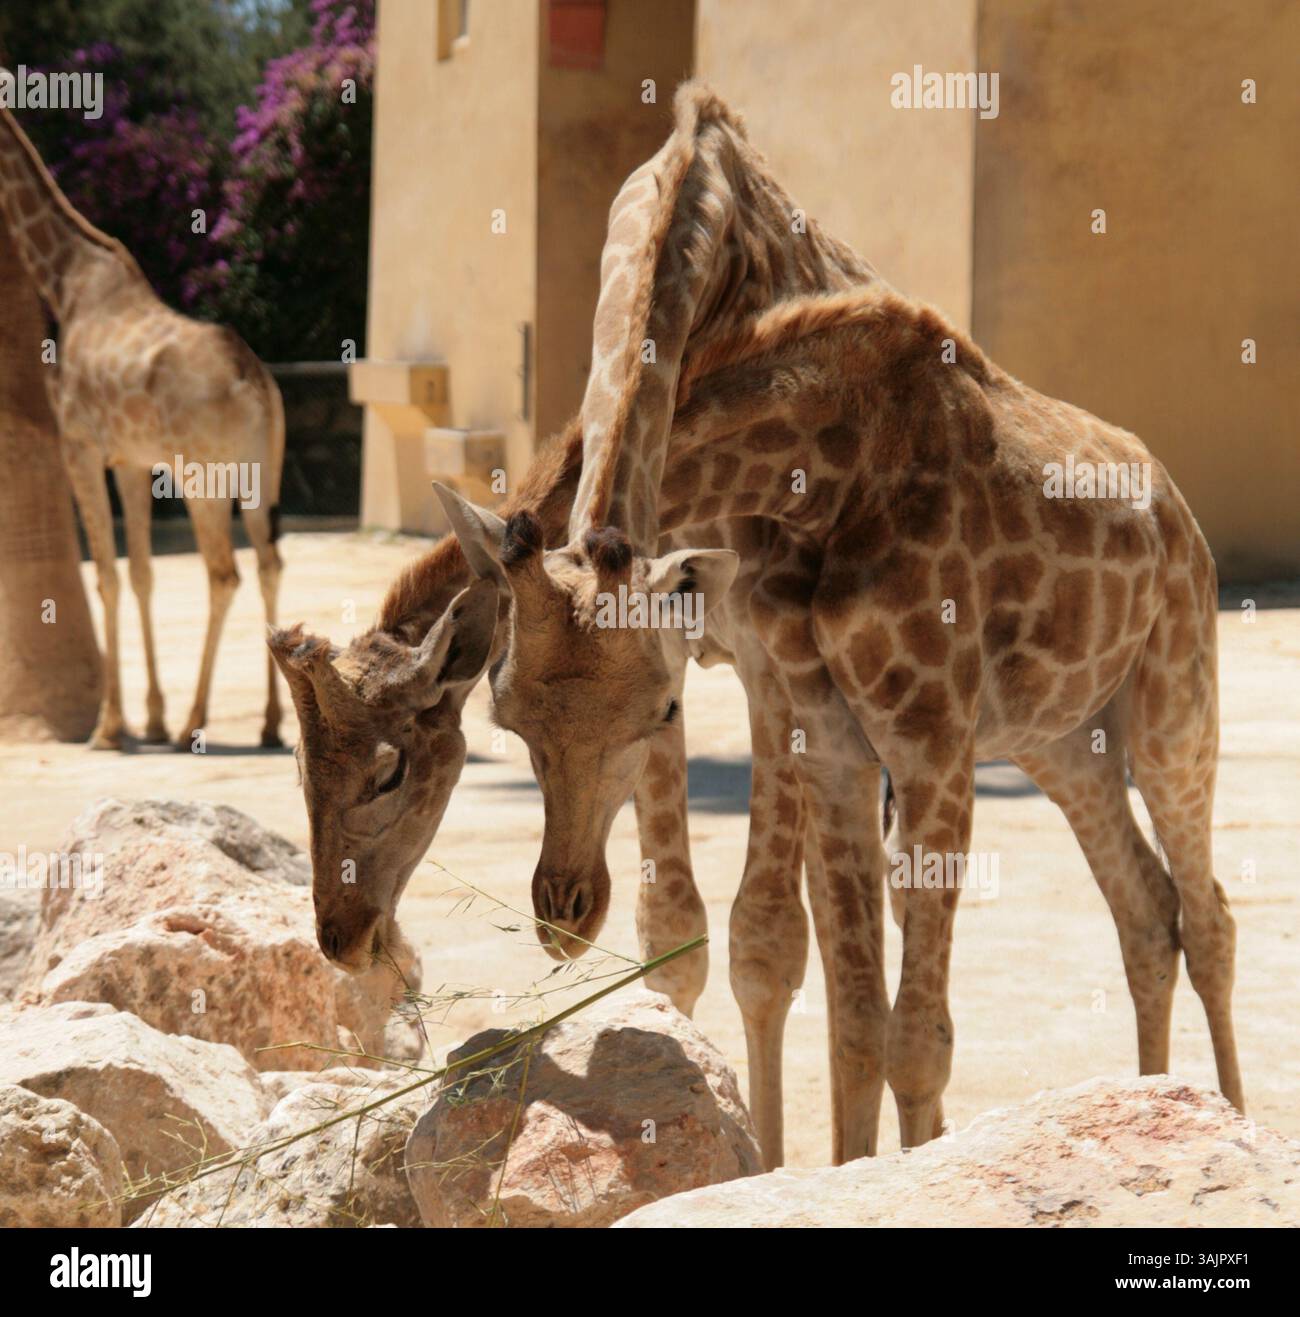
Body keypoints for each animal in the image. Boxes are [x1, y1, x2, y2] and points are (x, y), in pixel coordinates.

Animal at [0, 102, 284, 749]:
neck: (64, 280)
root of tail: (254, 383)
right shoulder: (132, 461)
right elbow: (142, 573)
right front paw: (148, 716)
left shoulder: (80, 446)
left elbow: (106, 574)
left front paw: (112, 728)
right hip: (261, 476)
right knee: (269, 565)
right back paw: (269, 723)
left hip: (204, 479)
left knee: (224, 574)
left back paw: (193, 723)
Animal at [437, 83, 1244, 1153]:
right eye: (506, 716)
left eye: (658, 712)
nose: (563, 912)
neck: (831, 461)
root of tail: (1179, 509)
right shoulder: (835, 735)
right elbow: (854, 1017)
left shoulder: (926, 739)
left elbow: (910, 1033)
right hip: (1065, 740)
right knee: (1149, 915)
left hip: (1173, 711)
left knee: (1213, 917)